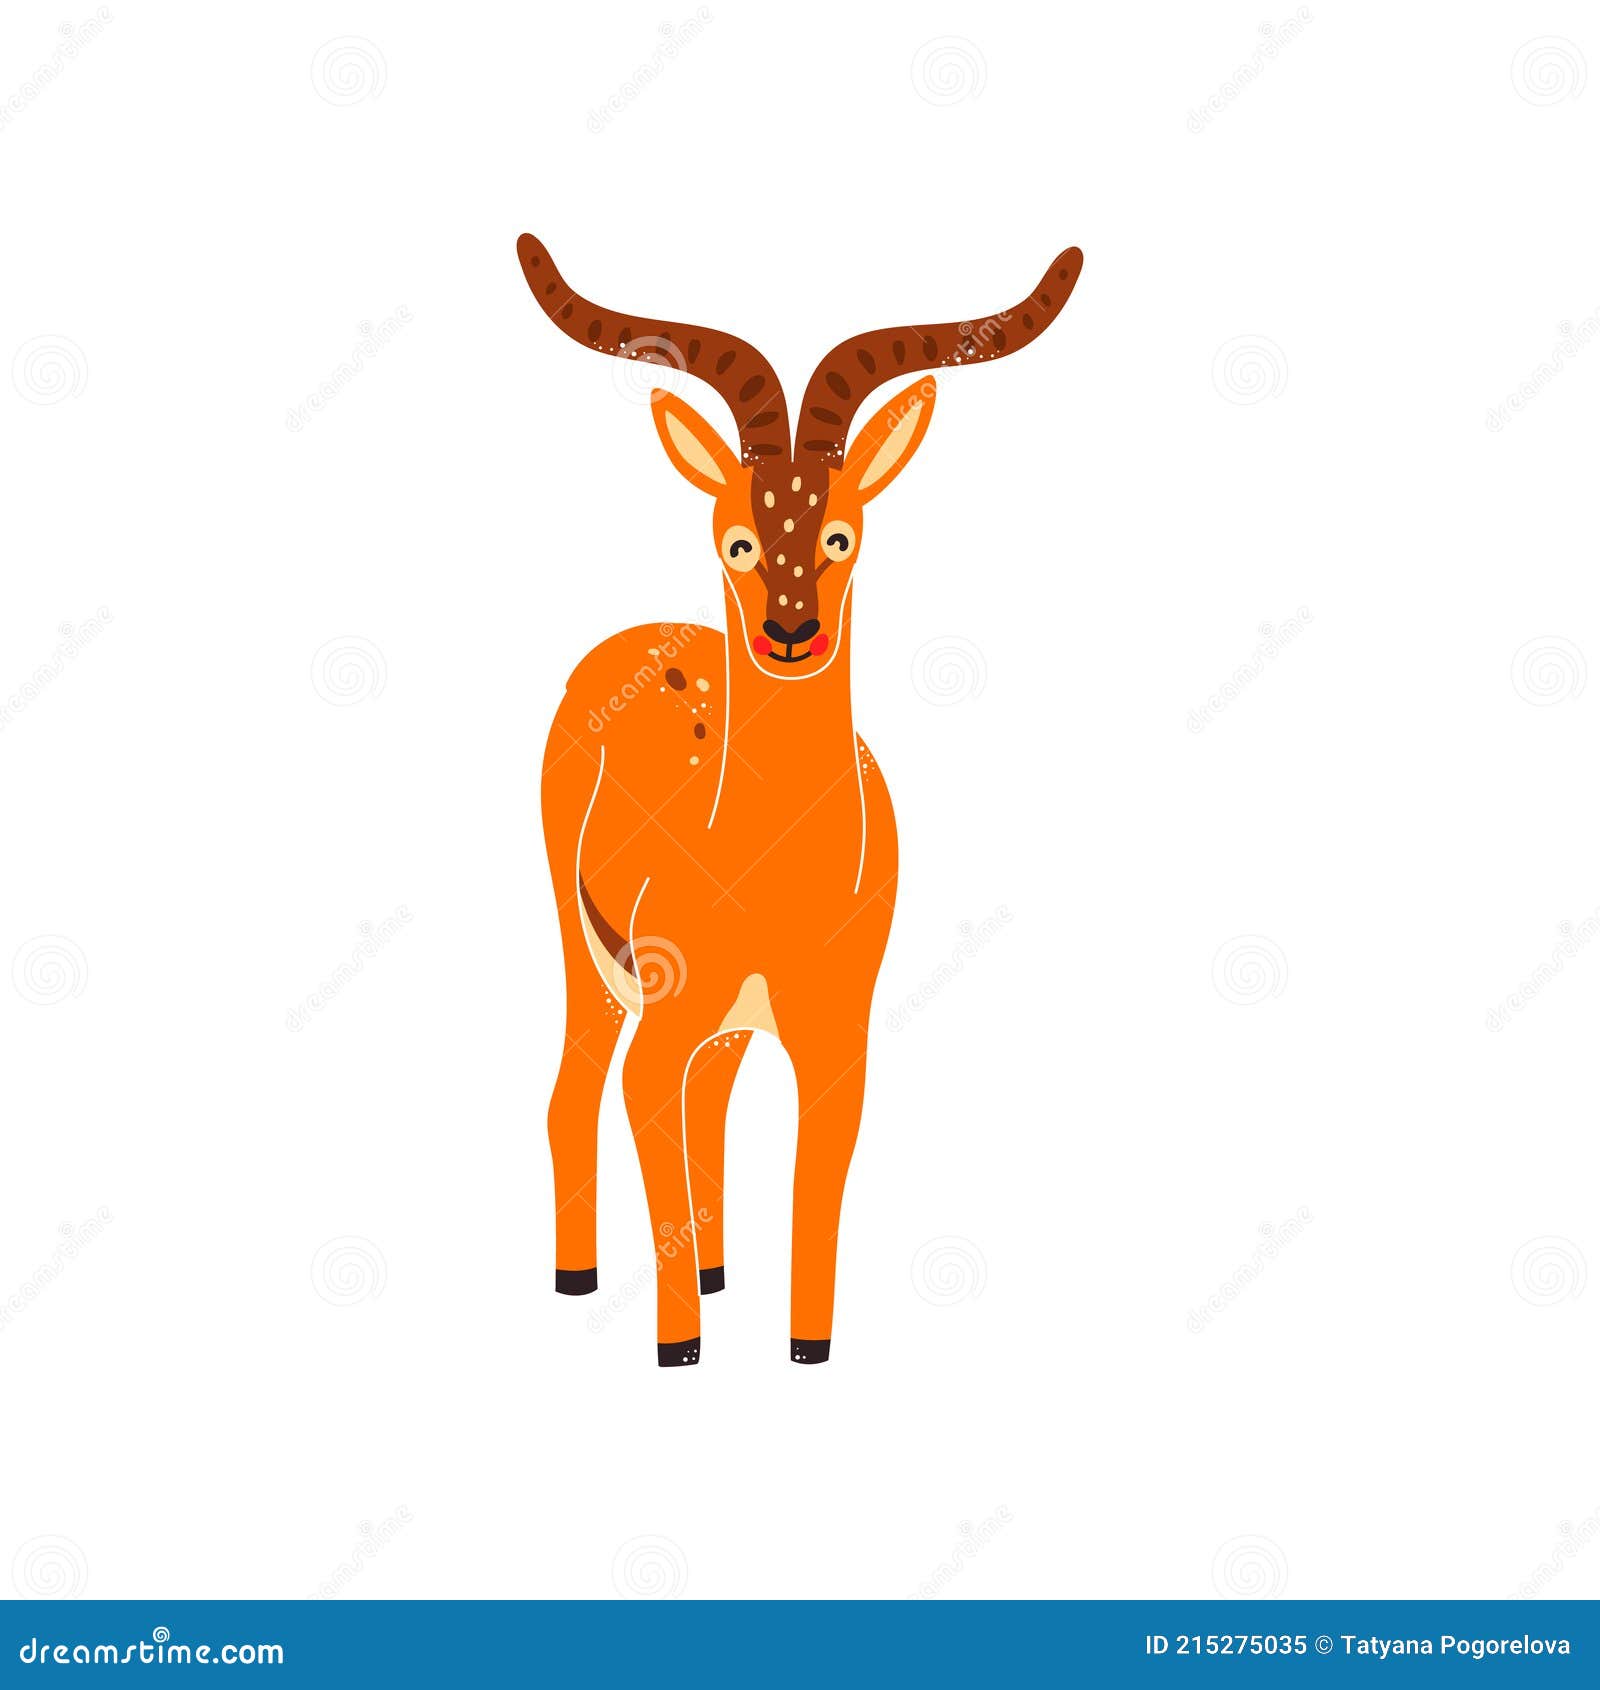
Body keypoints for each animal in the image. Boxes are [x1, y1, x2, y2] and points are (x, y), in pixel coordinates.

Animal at [519, 233, 1083, 1365]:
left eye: (842, 533)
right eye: (734, 534)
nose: (790, 632)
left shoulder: (837, 1037)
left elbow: (813, 1189)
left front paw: (805, 1349)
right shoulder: (666, 1018)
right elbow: (647, 1124)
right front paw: (679, 1349)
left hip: (724, 1020)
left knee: (711, 1102)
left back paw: (719, 1271)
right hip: (586, 952)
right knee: (570, 1097)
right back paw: (580, 1277)